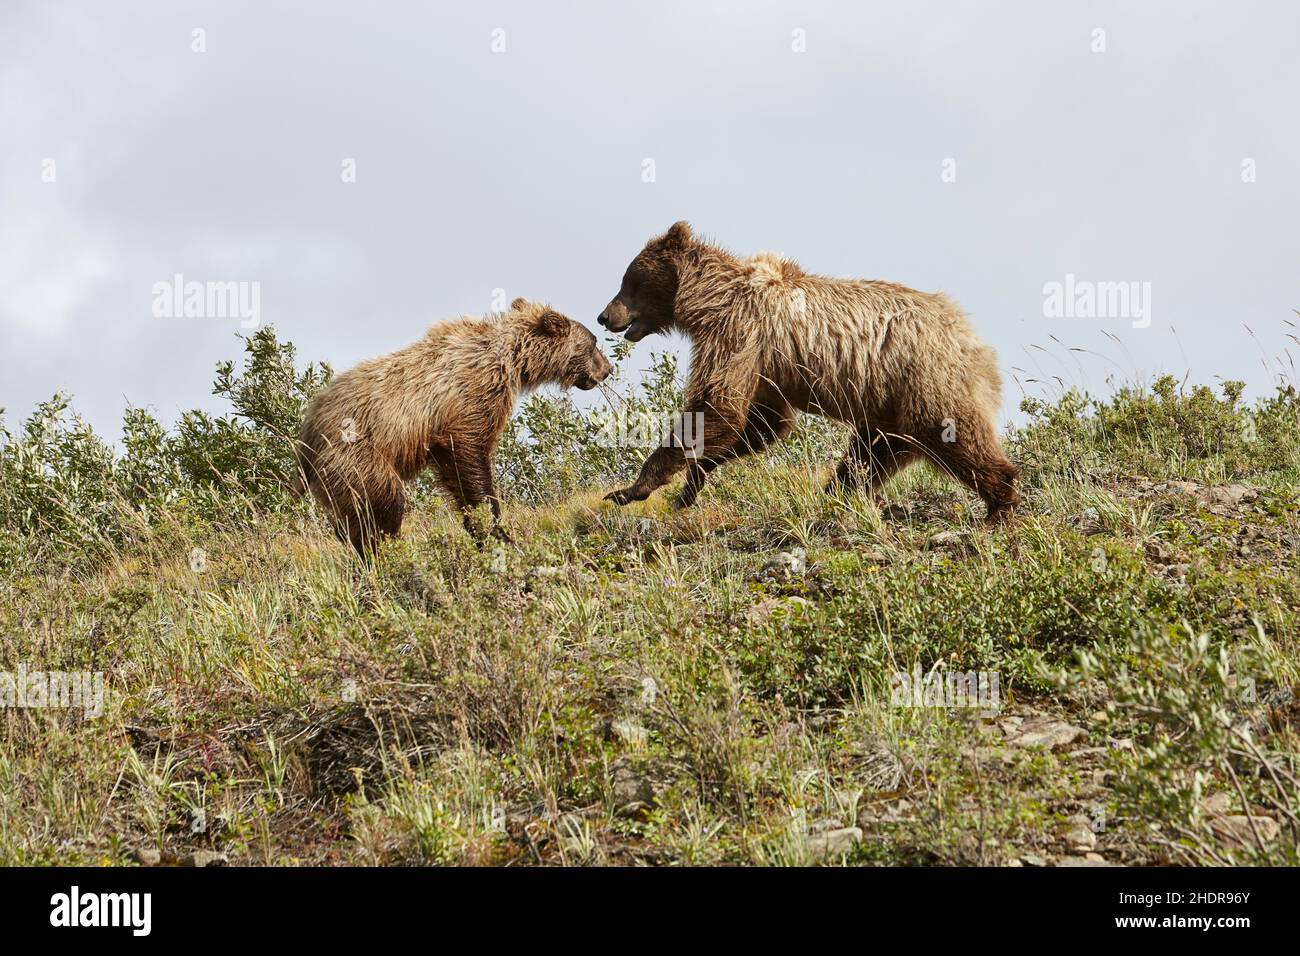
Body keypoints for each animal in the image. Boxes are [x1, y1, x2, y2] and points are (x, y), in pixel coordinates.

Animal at [296, 298, 612, 556]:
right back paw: (381, 551)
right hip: (357, 455)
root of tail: (306, 434)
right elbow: (470, 453)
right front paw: (500, 534)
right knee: (383, 504)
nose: (607, 369)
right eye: (593, 343)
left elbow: (455, 473)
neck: (513, 360)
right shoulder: (471, 397)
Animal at [597, 221, 1019, 521]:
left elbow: (718, 406)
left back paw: (1000, 502)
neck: (707, 301)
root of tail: (972, 337)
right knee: (871, 454)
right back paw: (840, 494)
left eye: (628, 280)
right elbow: (762, 424)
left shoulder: (739, 333)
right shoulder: (765, 365)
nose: (604, 316)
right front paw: (690, 485)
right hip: (889, 405)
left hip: (925, 378)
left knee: (952, 434)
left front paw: (632, 488)